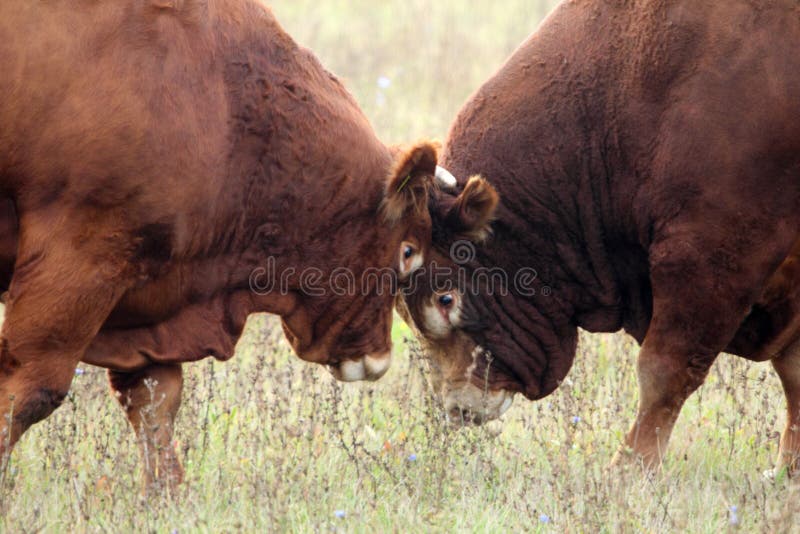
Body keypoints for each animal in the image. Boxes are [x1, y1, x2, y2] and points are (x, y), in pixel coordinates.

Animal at [0, 0, 439, 490]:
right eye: (407, 250)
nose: (378, 359)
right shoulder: (81, 260)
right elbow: (30, 393)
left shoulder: (143, 296)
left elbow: (156, 403)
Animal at [400, 0, 800, 476]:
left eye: (445, 297)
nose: (458, 407)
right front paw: (788, 473)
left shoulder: (711, 254)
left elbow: (664, 372)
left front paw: (628, 470)